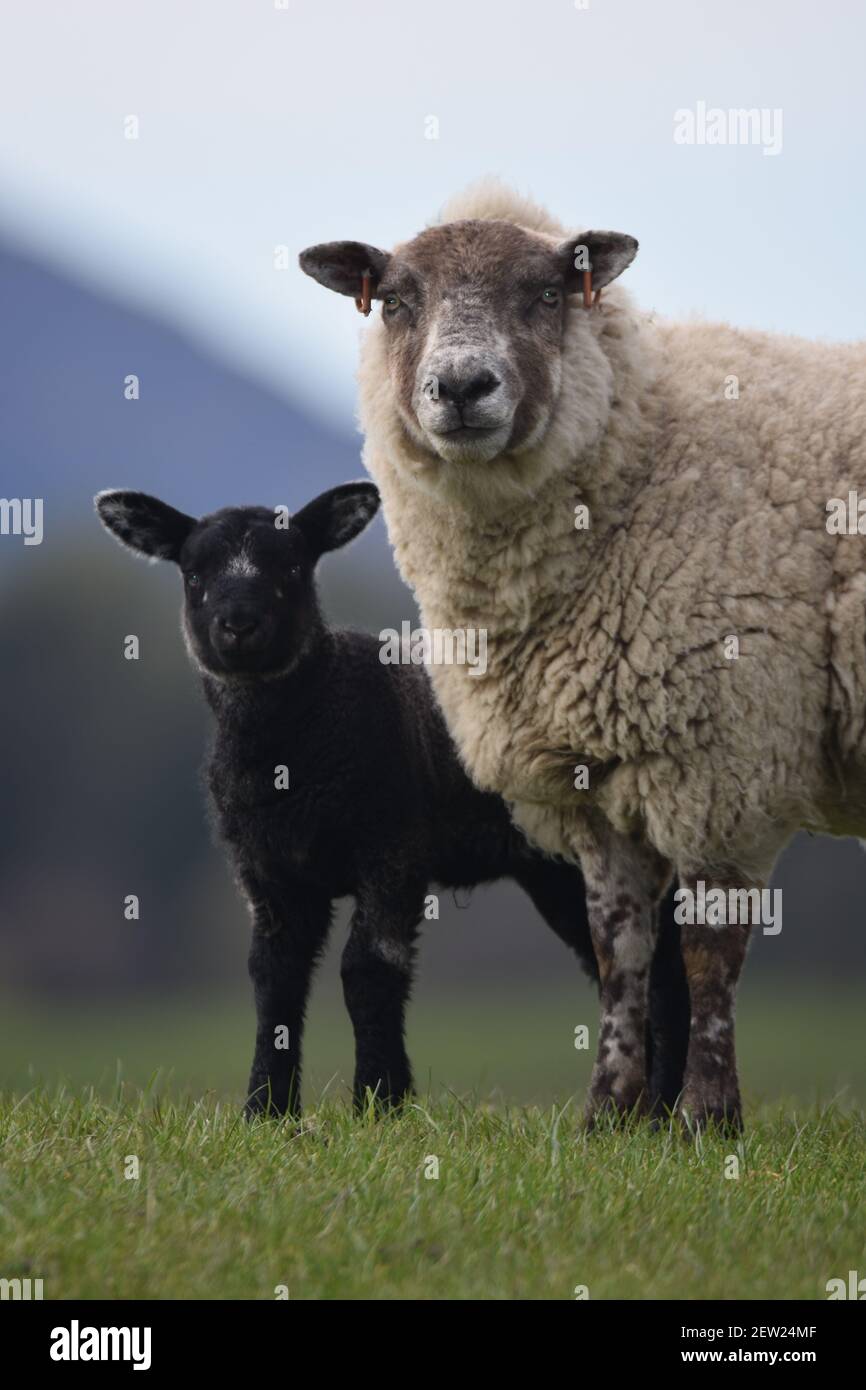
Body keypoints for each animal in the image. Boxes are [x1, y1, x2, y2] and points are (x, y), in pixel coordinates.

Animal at [95, 479, 690, 1117]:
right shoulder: (269, 871)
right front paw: (267, 1109)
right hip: (556, 872)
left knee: (663, 972)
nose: (239, 624)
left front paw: (380, 1099)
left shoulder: (392, 848)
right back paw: (639, 1108)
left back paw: (669, 1112)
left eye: (294, 566)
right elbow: (274, 980)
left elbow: (369, 968)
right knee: (619, 964)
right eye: (193, 573)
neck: (297, 742)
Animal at [299, 182, 866, 1129]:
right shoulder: (592, 774)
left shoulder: (724, 755)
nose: (462, 386)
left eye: (545, 294)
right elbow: (619, 944)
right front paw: (612, 1113)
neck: (646, 449)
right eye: (398, 299)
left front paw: (707, 1116)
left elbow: (710, 945)